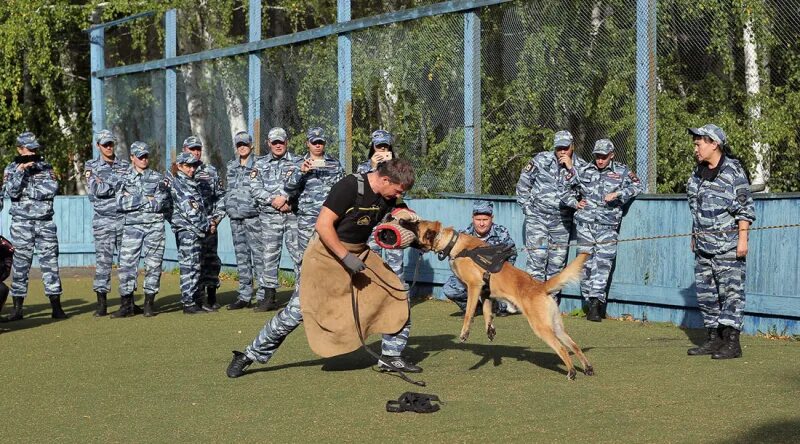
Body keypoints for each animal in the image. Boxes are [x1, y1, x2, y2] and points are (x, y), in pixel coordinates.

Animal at [400, 219, 592, 378]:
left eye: (416, 224)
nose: (400, 219)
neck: (455, 244)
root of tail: (540, 287)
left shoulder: (474, 286)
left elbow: (469, 313)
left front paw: (465, 333)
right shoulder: (485, 293)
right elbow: (487, 312)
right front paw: (490, 329)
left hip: (541, 327)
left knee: (561, 348)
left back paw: (572, 371)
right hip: (556, 326)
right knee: (574, 345)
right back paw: (587, 367)